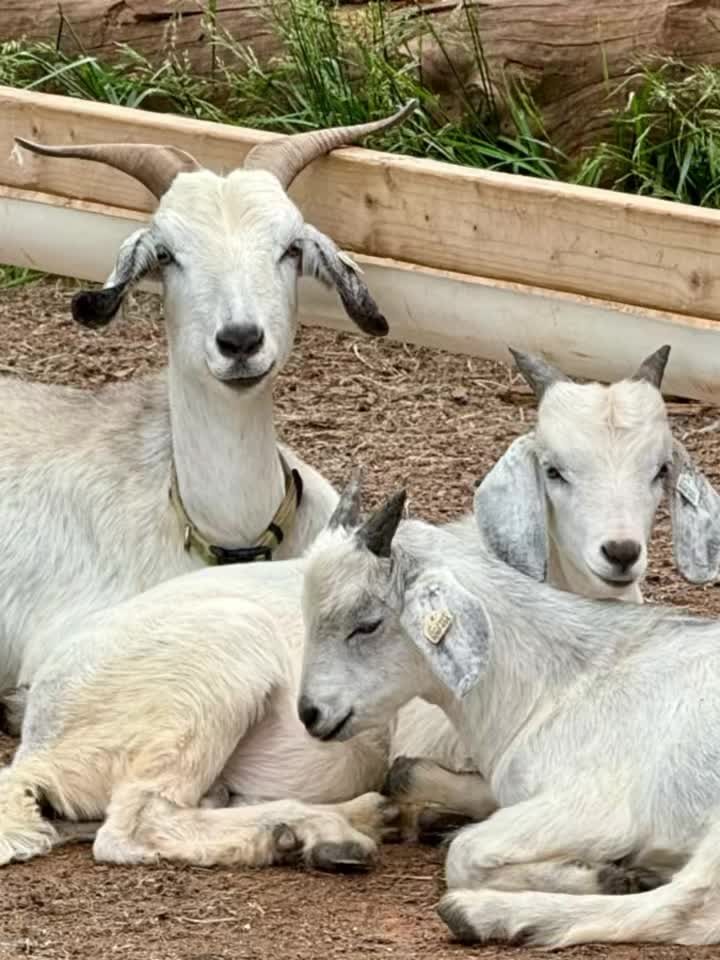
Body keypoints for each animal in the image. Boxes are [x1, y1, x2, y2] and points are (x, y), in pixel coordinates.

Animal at [298, 470, 720, 947]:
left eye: (367, 624)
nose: (310, 712)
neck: (556, 685)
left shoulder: (596, 808)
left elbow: (464, 852)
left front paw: (607, 874)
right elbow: (404, 773)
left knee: (688, 903)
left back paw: (485, 913)